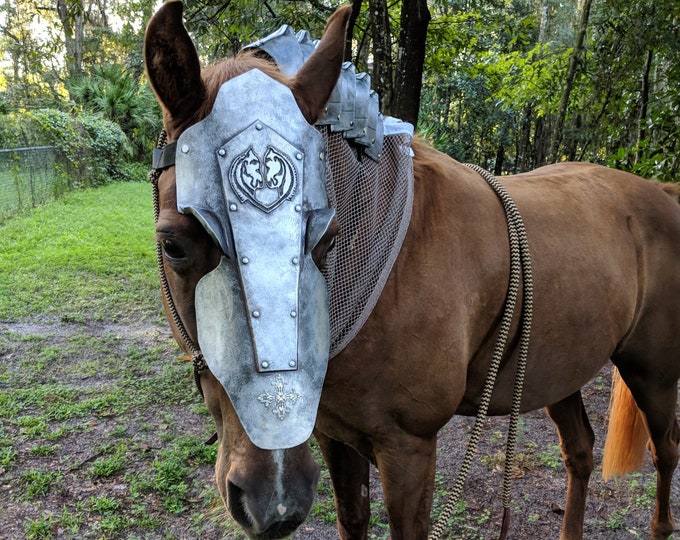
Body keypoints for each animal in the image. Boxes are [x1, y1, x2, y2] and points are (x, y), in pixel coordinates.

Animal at [143, 2, 680, 539]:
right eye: (172, 246)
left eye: (329, 239)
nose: (273, 500)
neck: (383, 273)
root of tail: (660, 190)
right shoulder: (332, 435)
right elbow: (352, 518)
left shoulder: (409, 449)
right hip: (559, 370)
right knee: (580, 450)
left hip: (652, 373)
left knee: (665, 452)